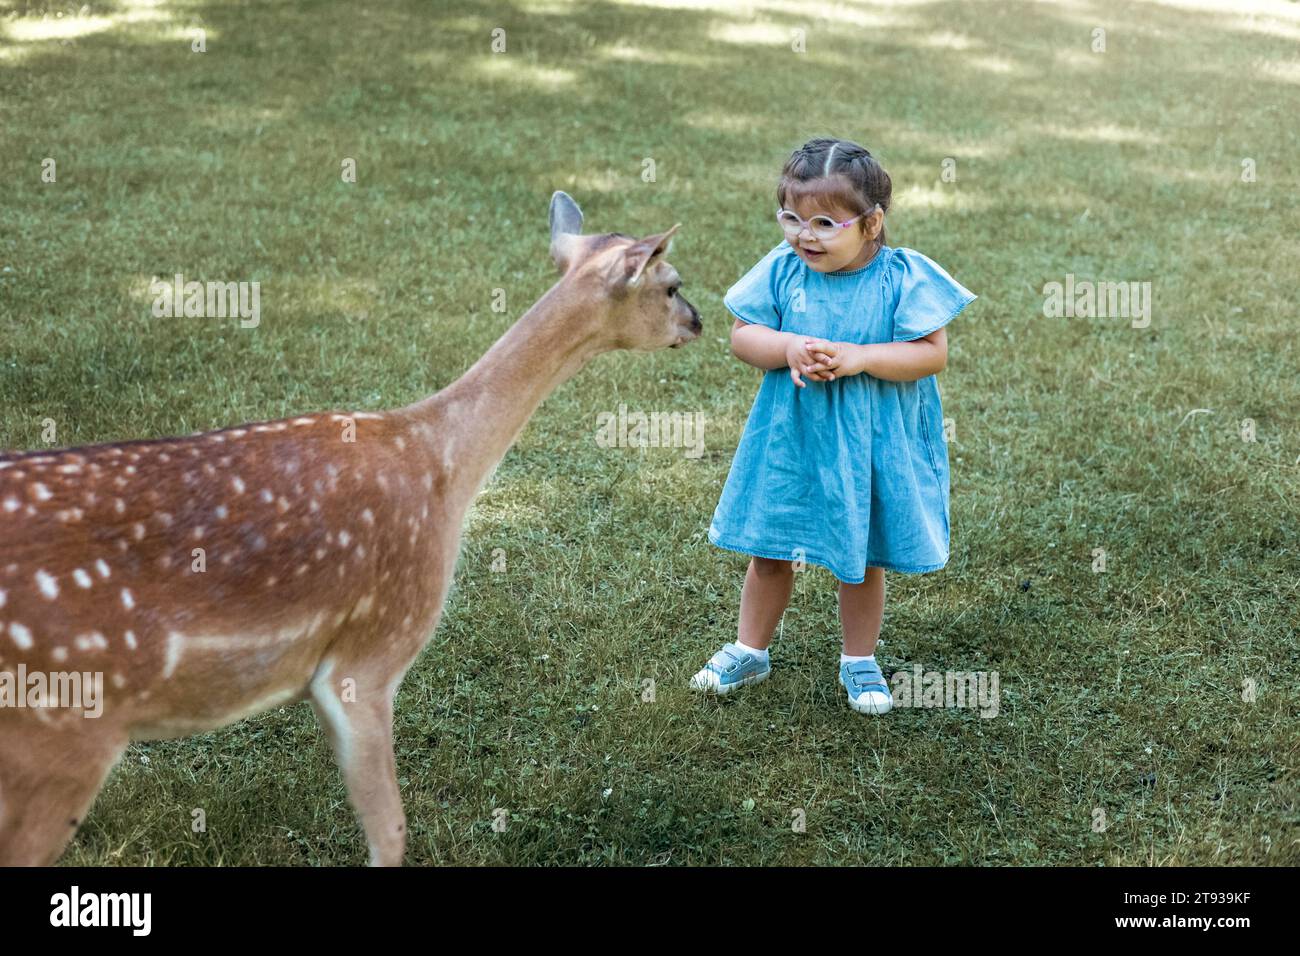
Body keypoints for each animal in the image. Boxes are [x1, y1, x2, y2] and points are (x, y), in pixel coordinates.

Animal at [0, 191, 702, 866]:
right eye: (671, 283)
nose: (698, 320)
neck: (441, 467)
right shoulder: (370, 654)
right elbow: (390, 833)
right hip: (61, 725)